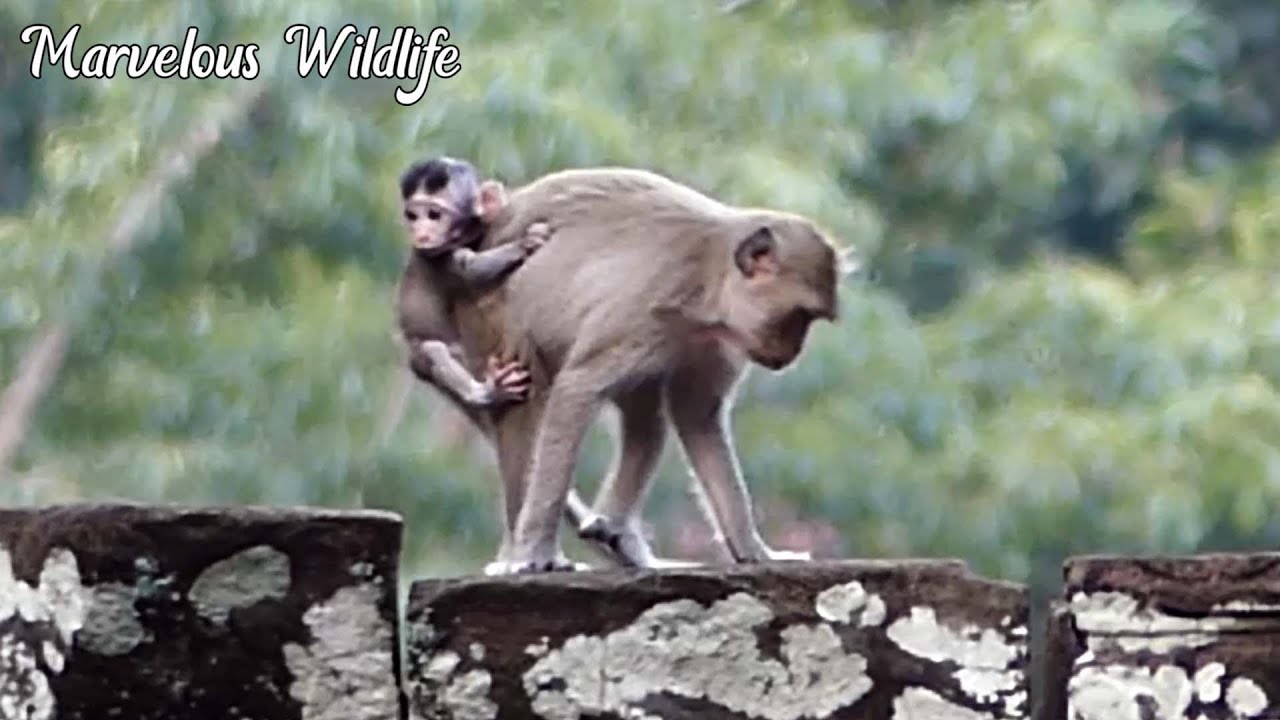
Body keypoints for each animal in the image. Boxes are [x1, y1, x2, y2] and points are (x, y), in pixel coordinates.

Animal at [467, 167, 850, 574]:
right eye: (799, 316)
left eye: (810, 320)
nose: (792, 353)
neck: (708, 283)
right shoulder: (645, 311)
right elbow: (577, 388)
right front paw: (536, 551)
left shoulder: (713, 343)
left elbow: (697, 416)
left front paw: (754, 550)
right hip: (490, 313)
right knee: (526, 400)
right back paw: (519, 550)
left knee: (646, 415)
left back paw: (616, 530)